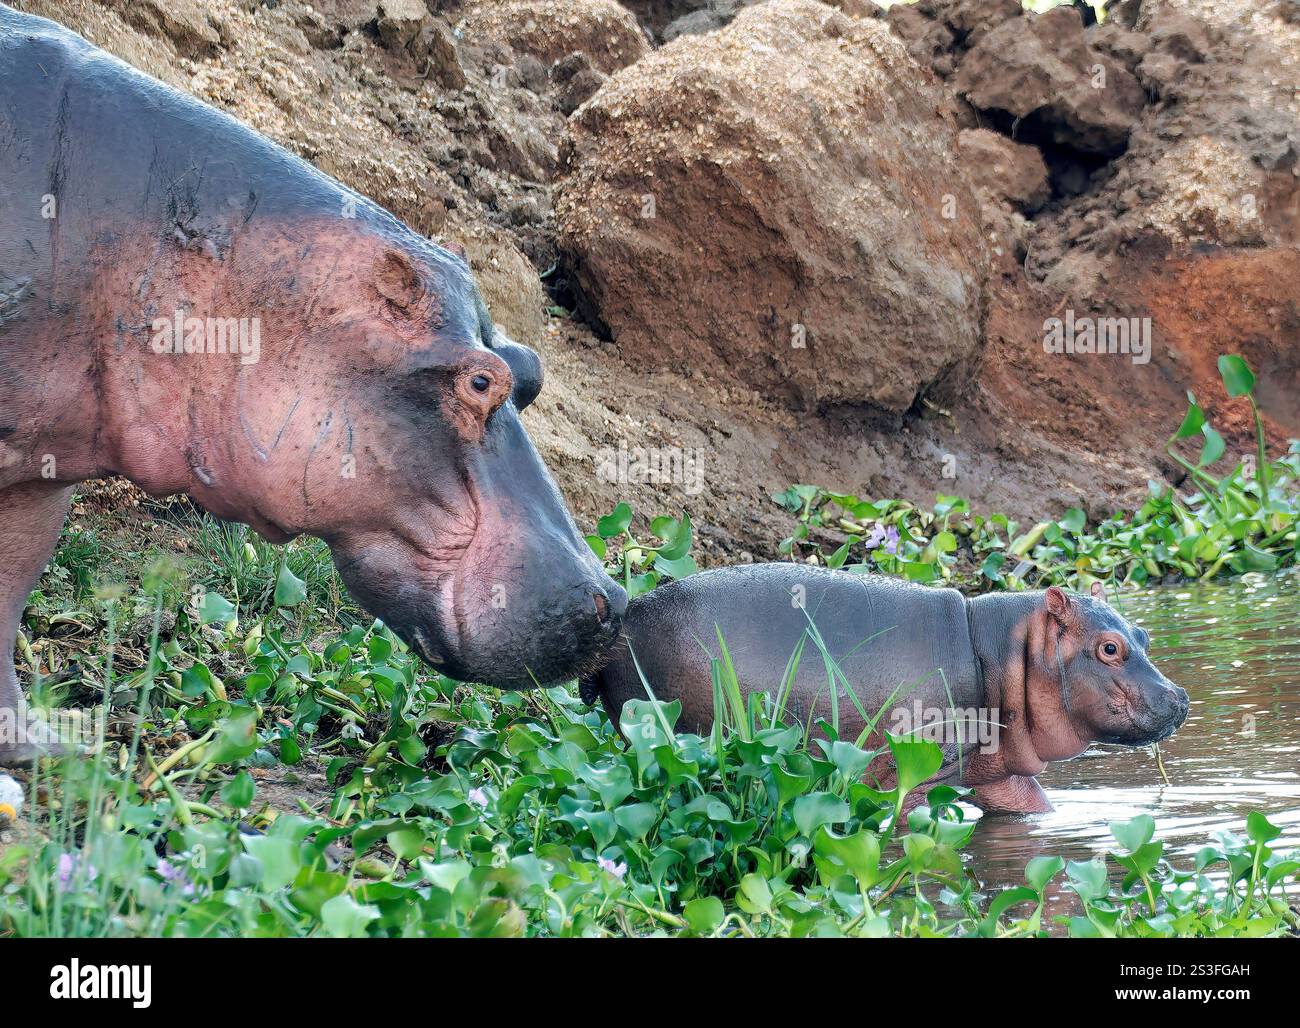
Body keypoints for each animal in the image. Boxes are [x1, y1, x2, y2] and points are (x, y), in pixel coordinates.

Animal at [0, 5, 626, 763]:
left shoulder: (43, 460)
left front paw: (43, 750)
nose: (617, 600)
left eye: (530, 370)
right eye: (483, 381)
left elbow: (11, 582)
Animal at [583, 564, 1190, 813]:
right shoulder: (906, 773)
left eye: (1143, 634)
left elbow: (1033, 808)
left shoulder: (998, 771)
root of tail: (626, 620)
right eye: (1109, 647)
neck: (1002, 652)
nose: (1181, 697)